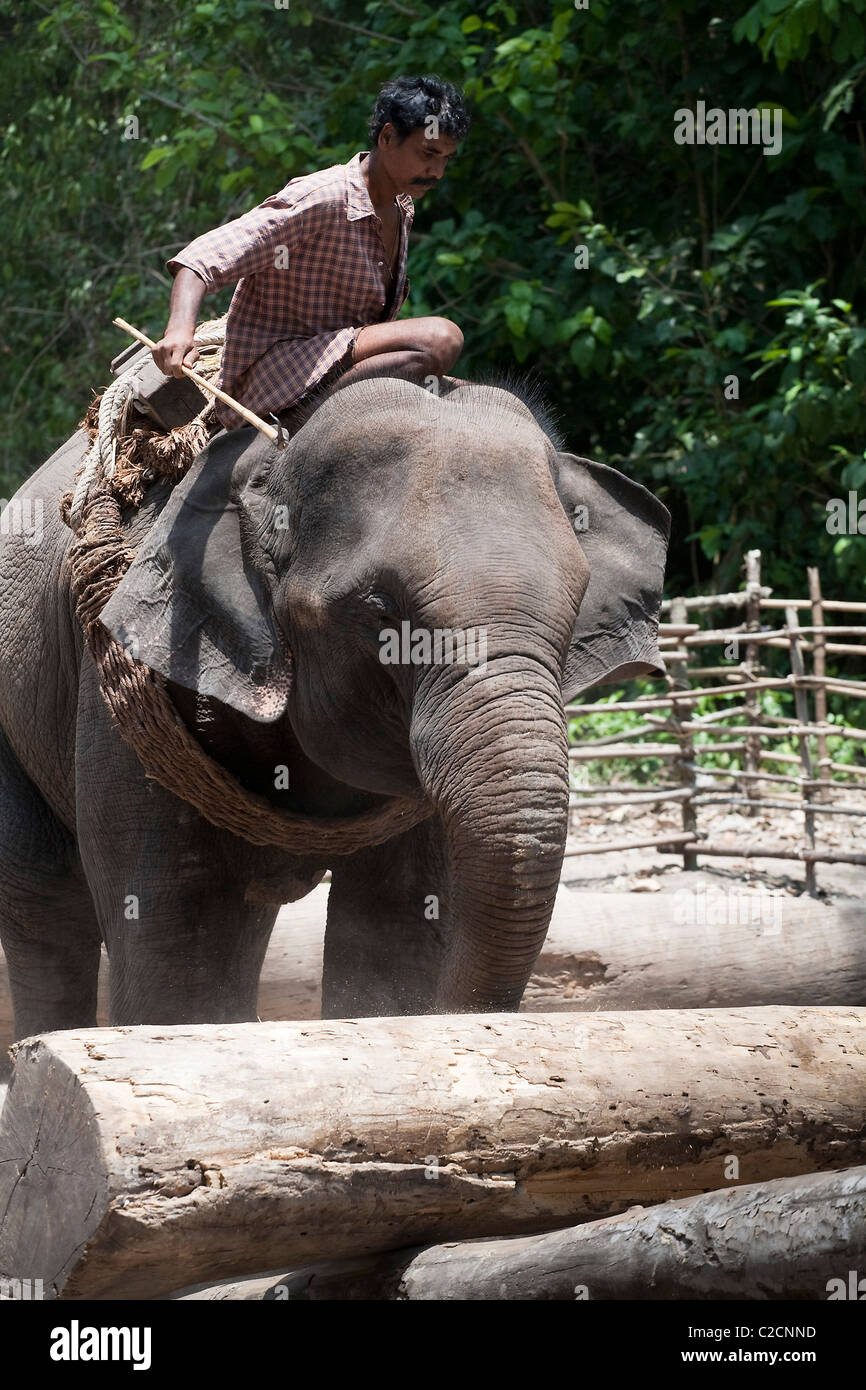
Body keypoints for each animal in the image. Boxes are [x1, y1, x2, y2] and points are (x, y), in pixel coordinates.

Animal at [0, 374, 669, 1038]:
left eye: (578, 601)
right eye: (379, 611)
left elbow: (403, 914)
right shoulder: (129, 679)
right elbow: (173, 922)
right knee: (47, 903)